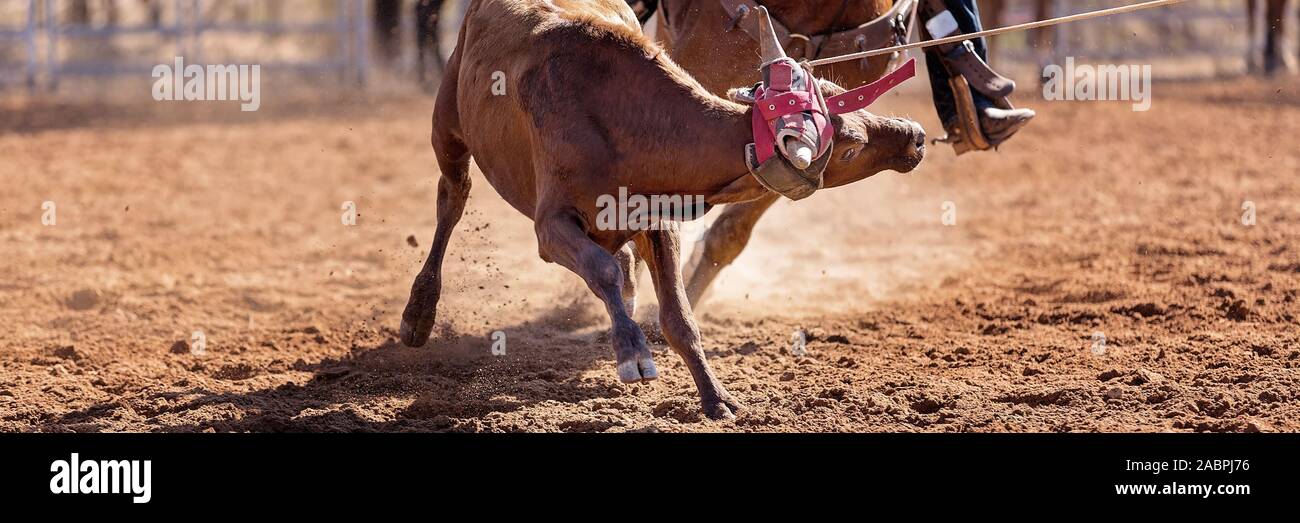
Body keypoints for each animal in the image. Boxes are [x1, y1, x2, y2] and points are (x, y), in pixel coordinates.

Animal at [399, 0, 926, 420]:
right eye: (850, 148)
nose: (916, 136)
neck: (620, 121)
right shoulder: (551, 228)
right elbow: (601, 269)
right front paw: (632, 351)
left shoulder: (657, 220)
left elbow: (678, 314)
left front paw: (716, 398)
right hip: (448, 125)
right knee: (452, 198)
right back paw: (418, 313)